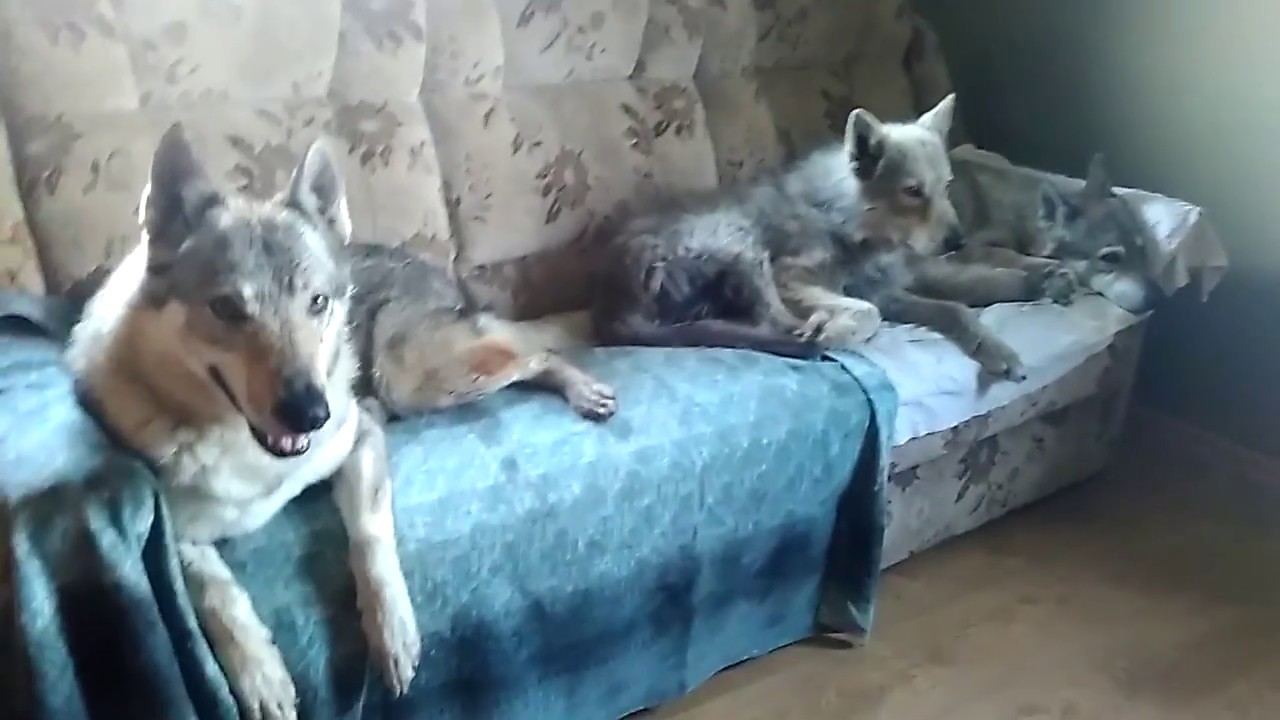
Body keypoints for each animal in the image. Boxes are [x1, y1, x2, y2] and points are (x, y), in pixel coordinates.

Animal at [64, 124, 613, 720]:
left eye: (317, 302)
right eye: (228, 309)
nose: (312, 412)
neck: (255, 462)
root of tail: (433, 268)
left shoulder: (361, 433)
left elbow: (370, 537)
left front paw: (391, 632)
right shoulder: (170, 535)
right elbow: (218, 595)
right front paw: (261, 676)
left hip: (410, 379)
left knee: (536, 354)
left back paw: (584, 389)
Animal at [589, 94, 1069, 378]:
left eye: (947, 185)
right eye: (912, 191)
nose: (957, 243)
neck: (855, 223)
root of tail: (611, 301)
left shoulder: (898, 286)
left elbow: (968, 299)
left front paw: (1036, 288)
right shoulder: (797, 278)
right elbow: (868, 312)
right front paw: (838, 327)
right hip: (739, 241)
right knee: (774, 323)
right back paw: (811, 334)